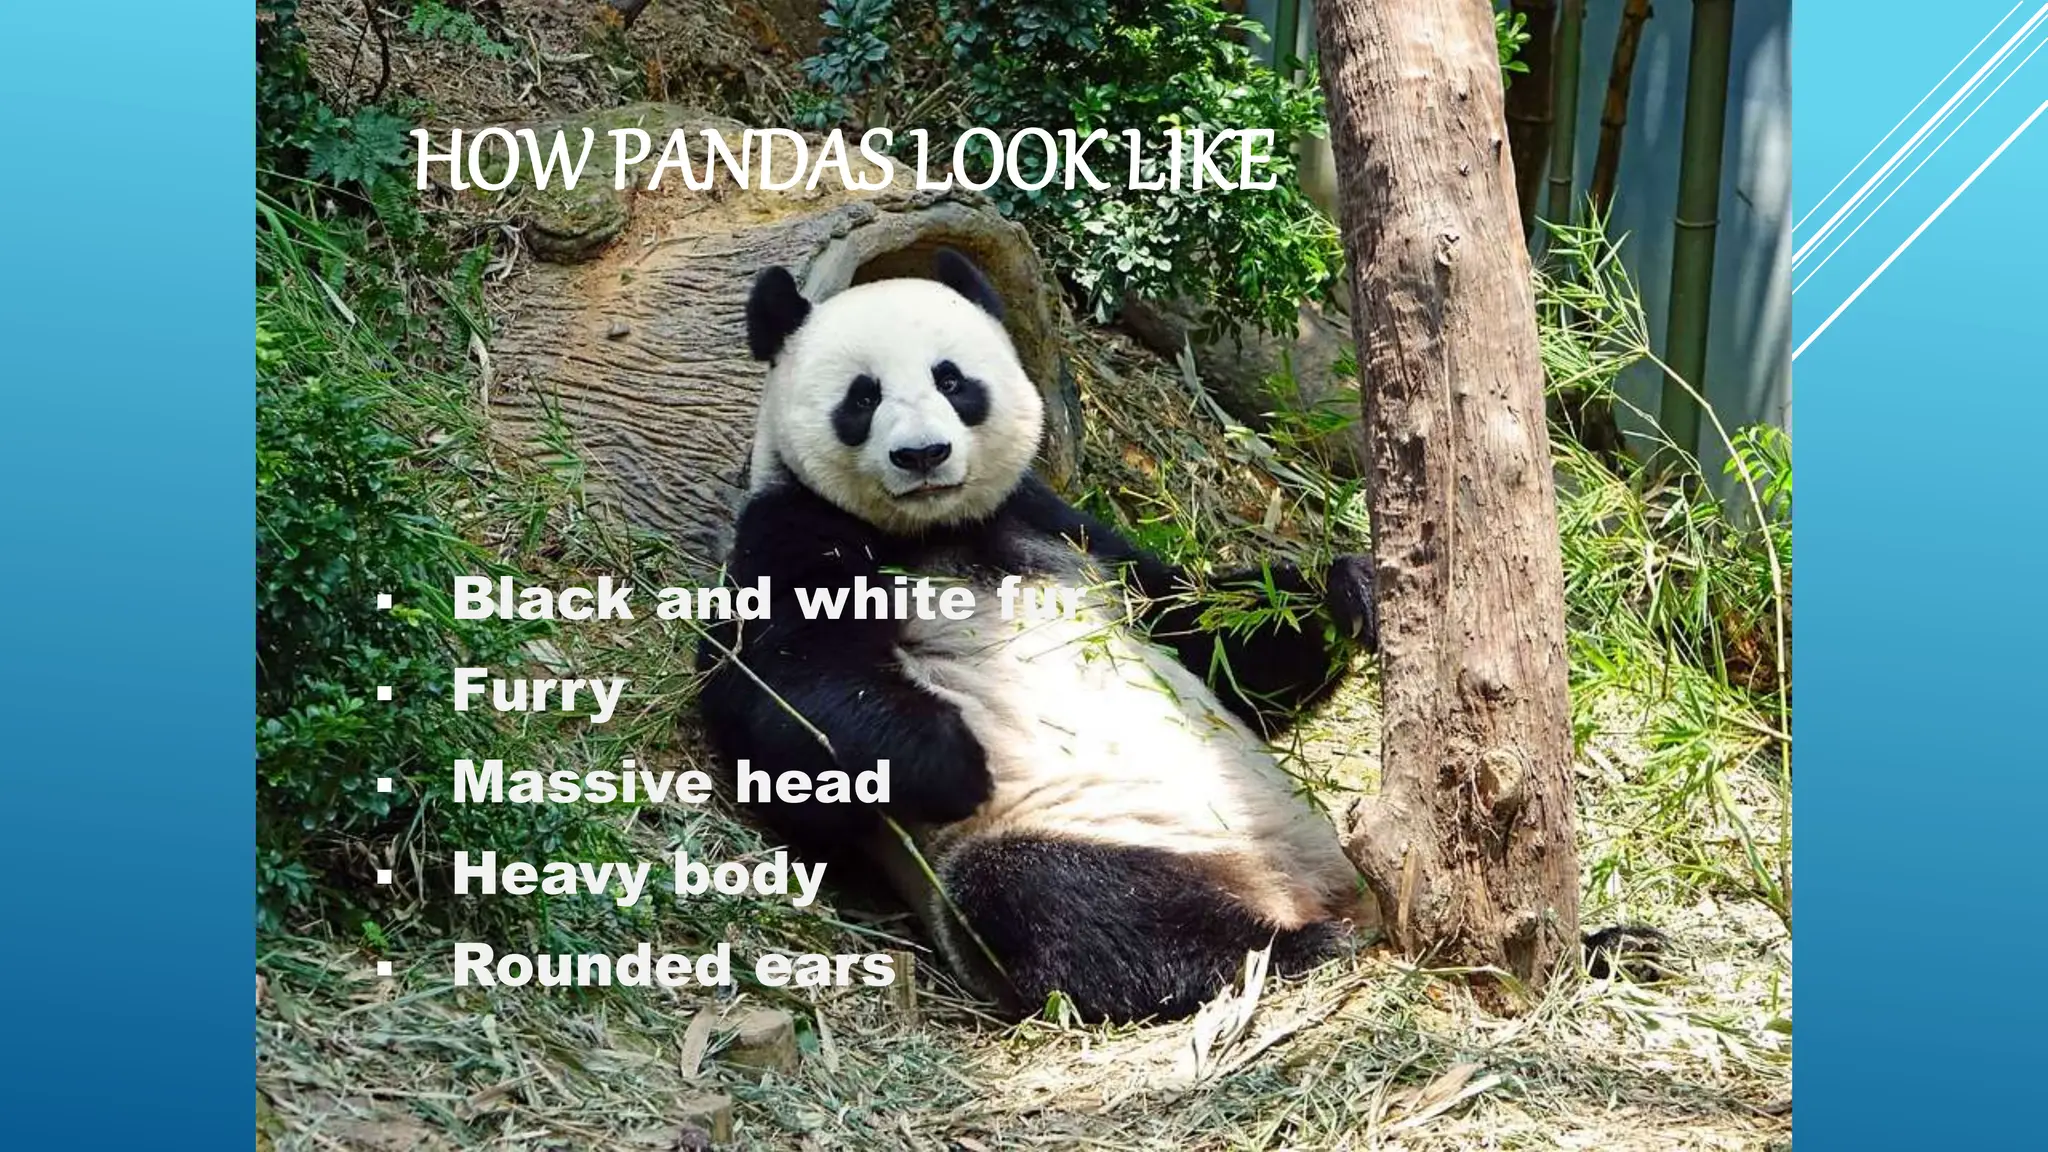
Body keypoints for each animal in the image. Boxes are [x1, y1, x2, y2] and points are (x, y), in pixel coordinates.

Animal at [695, 249, 1385, 1024]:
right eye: (862, 397)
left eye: (952, 380)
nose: (923, 455)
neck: (934, 531)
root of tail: (1285, 885)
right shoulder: (790, 530)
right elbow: (779, 693)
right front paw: (953, 760)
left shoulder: (1060, 528)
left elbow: (1207, 639)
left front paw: (1349, 591)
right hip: (1078, 832)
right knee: (1066, 904)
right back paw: (1289, 947)